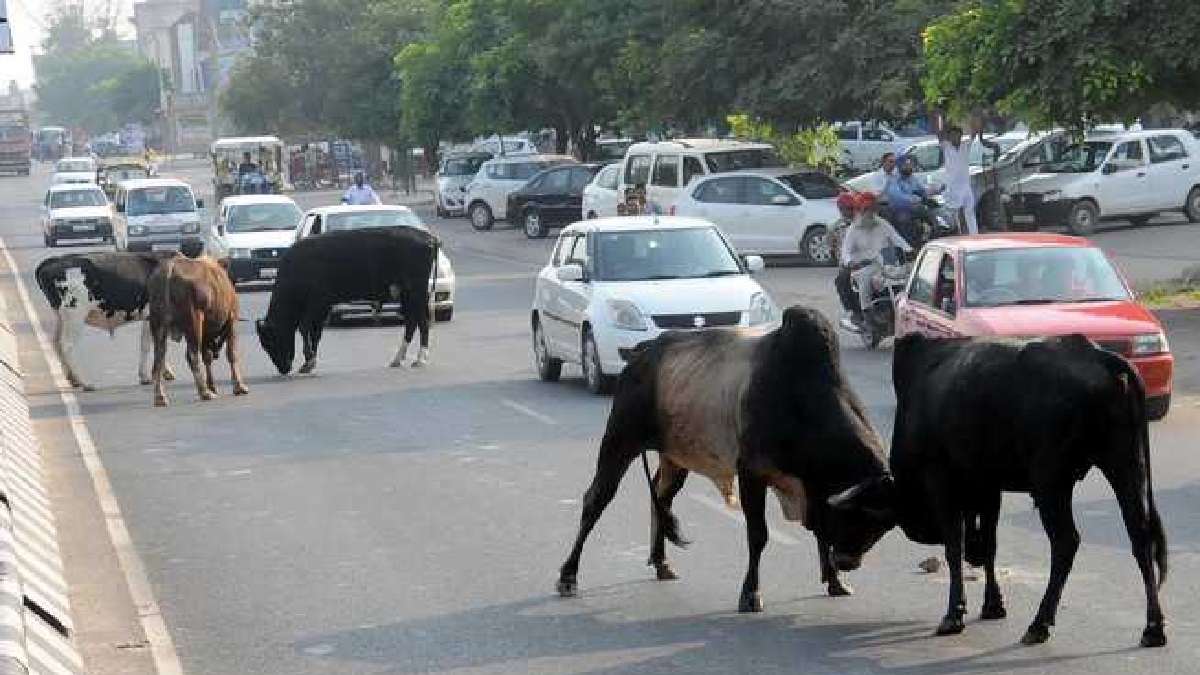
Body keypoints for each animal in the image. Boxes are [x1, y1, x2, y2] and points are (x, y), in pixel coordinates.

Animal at [33, 246, 204, 389]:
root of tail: (55, 260)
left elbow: (158, 344)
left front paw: (164, 372)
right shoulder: (151, 316)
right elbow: (148, 345)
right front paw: (146, 376)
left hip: (62, 317)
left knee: (56, 342)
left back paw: (72, 379)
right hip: (75, 314)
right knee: (67, 345)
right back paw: (84, 382)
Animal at [147, 253, 248, 406]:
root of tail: (170, 268)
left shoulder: (207, 332)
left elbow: (207, 357)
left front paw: (212, 386)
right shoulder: (232, 320)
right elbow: (231, 354)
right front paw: (239, 387)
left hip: (158, 325)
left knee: (159, 359)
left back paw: (160, 397)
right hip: (194, 322)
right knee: (192, 356)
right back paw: (204, 392)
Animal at [255, 227, 439, 375]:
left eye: (271, 341)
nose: (283, 369)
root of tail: (428, 237)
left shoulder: (318, 302)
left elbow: (304, 327)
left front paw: (309, 361)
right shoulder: (323, 307)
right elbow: (315, 332)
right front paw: (310, 361)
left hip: (417, 290)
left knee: (423, 321)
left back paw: (421, 358)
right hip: (406, 294)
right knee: (411, 323)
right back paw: (398, 359)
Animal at [556, 306, 897, 613]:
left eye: (882, 526)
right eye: (856, 513)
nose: (847, 562)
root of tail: (642, 352)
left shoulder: (814, 490)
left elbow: (821, 533)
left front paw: (835, 582)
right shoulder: (751, 472)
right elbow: (758, 535)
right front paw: (751, 594)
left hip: (675, 456)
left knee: (661, 498)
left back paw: (661, 562)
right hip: (619, 443)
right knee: (595, 500)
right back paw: (568, 576)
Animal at [890, 333, 1167, 647]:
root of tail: (1097, 355)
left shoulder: (939, 474)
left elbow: (954, 546)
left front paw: (954, 614)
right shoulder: (988, 485)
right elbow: (989, 545)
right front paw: (993, 605)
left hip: (1051, 481)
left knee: (1066, 542)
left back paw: (1040, 623)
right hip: (1125, 465)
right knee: (1141, 537)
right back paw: (1153, 627)